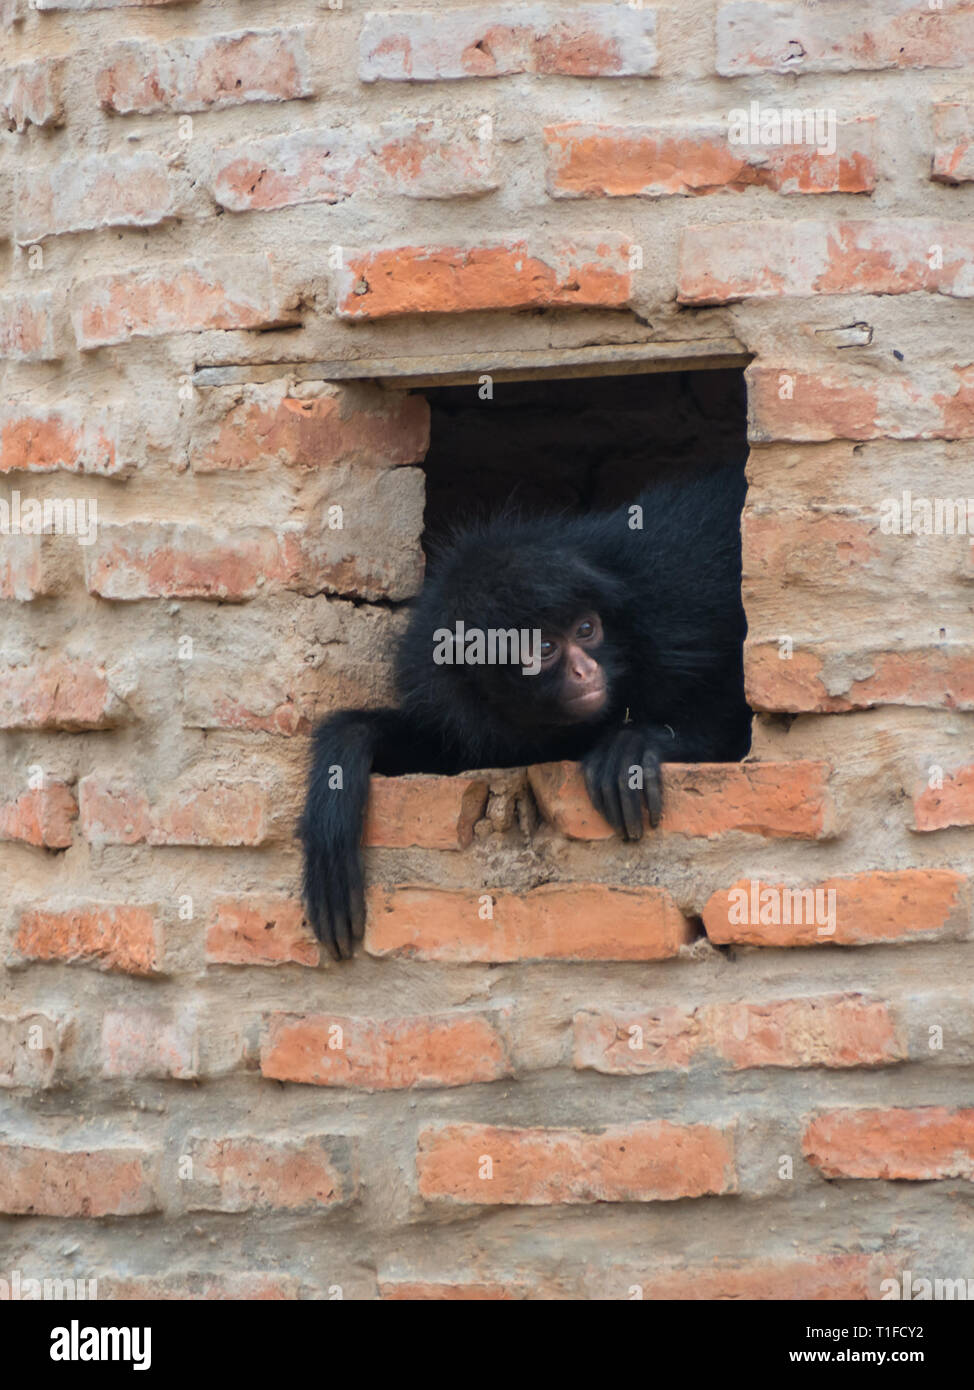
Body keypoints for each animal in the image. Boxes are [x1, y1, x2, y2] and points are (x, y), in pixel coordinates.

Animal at [300, 469, 750, 959]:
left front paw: (638, 744)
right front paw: (341, 766)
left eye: (586, 629)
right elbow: (445, 753)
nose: (586, 669)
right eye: (546, 648)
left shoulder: (671, 605)